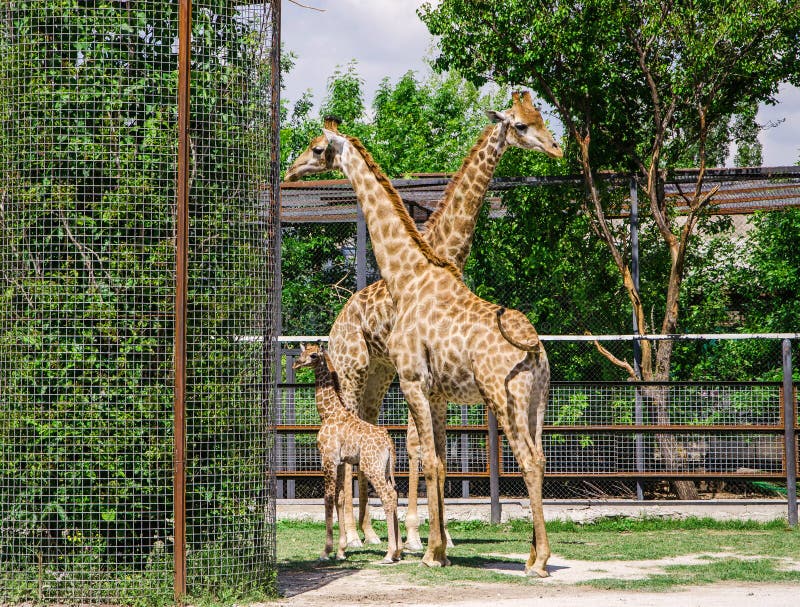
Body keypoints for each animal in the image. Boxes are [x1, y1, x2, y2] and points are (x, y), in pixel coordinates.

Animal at [292, 343, 402, 564]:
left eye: (313, 355)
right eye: (302, 352)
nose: (296, 364)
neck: (328, 412)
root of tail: (388, 443)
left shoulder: (328, 458)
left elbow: (327, 498)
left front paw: (326, 551)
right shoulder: (342, 462)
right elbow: (340, 499)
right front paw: (341, 551)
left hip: (371, 467)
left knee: (387, 497)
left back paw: (389, 554)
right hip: (385, 469)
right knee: (394, 494)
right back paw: (397, 552)